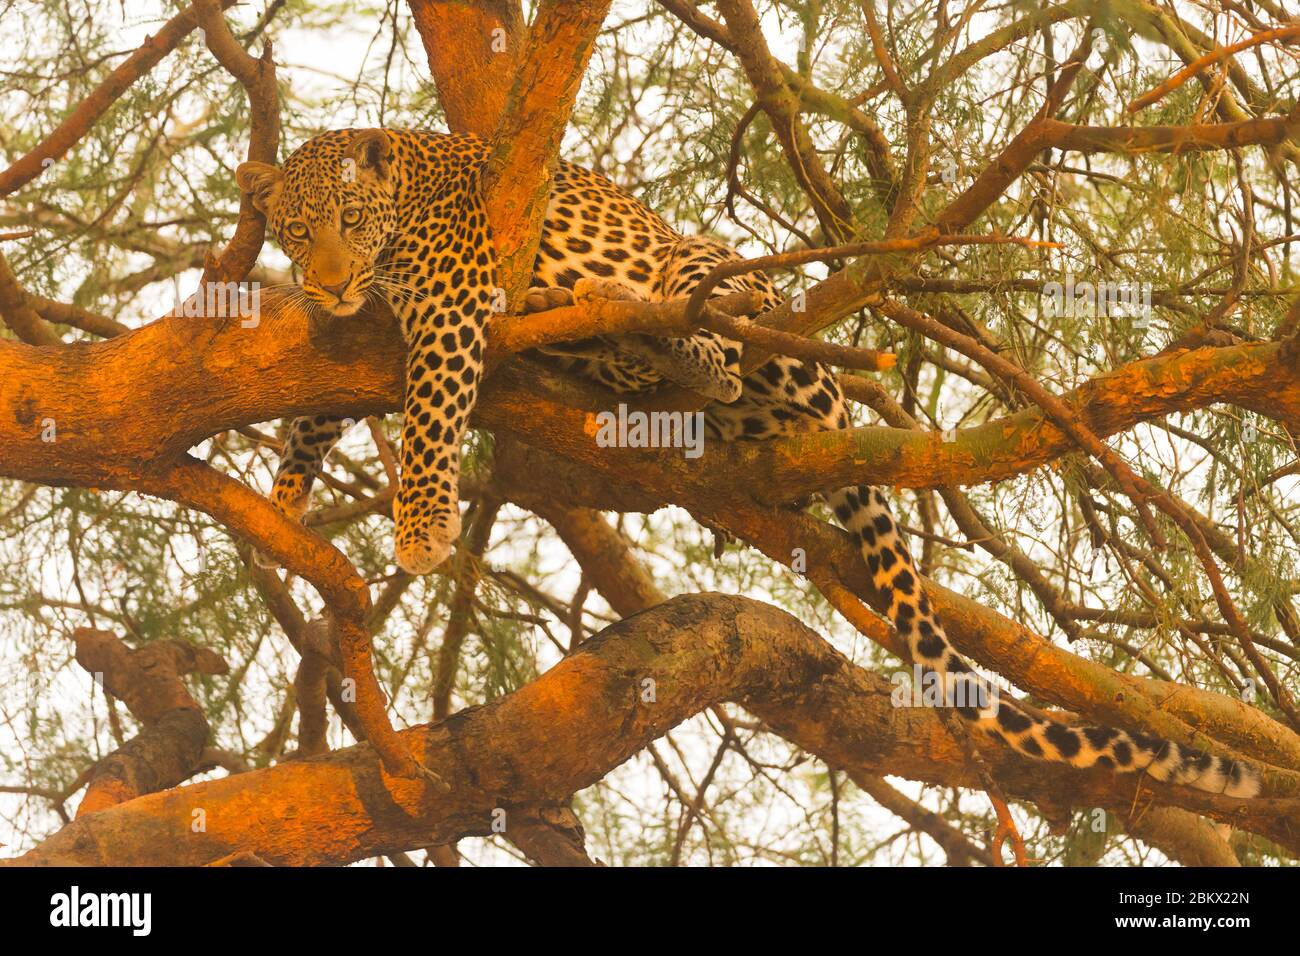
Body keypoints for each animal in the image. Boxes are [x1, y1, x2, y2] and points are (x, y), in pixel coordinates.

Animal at [235, 127, 1262, 800]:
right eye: (295, 231)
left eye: (348, 216)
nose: (327, 282)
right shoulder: (363, 340)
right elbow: (317, 412)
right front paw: (283, 499)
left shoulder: (451, 299)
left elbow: (432, 410)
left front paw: (417, 528)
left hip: (719, 270)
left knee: (720, 346)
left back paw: (648, 329)